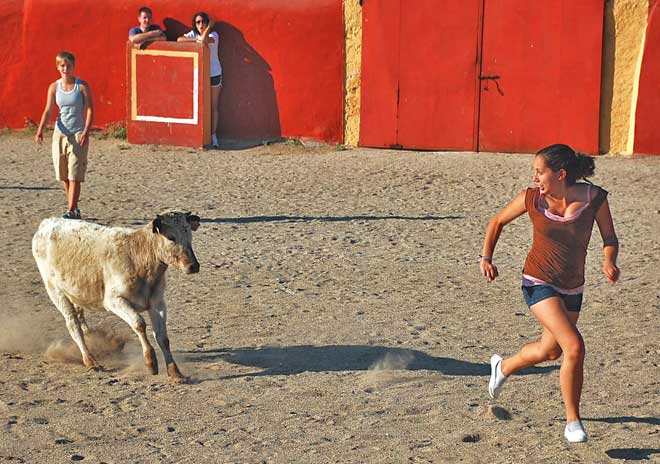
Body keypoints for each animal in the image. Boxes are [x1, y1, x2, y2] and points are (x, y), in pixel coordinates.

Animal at [32, 211, 200, 382]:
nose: (193, 266)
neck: (139, 257)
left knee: (80, 317)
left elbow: (162, 337)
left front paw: (175, 372)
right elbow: (139, 323)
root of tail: (46, 223)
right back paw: (90, 360)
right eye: (171, 237)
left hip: (75, 291)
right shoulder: (114, 301)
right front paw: (150, 361)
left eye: (189, 235)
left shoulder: (157, 303)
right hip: (56, 292)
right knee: (73, 325)